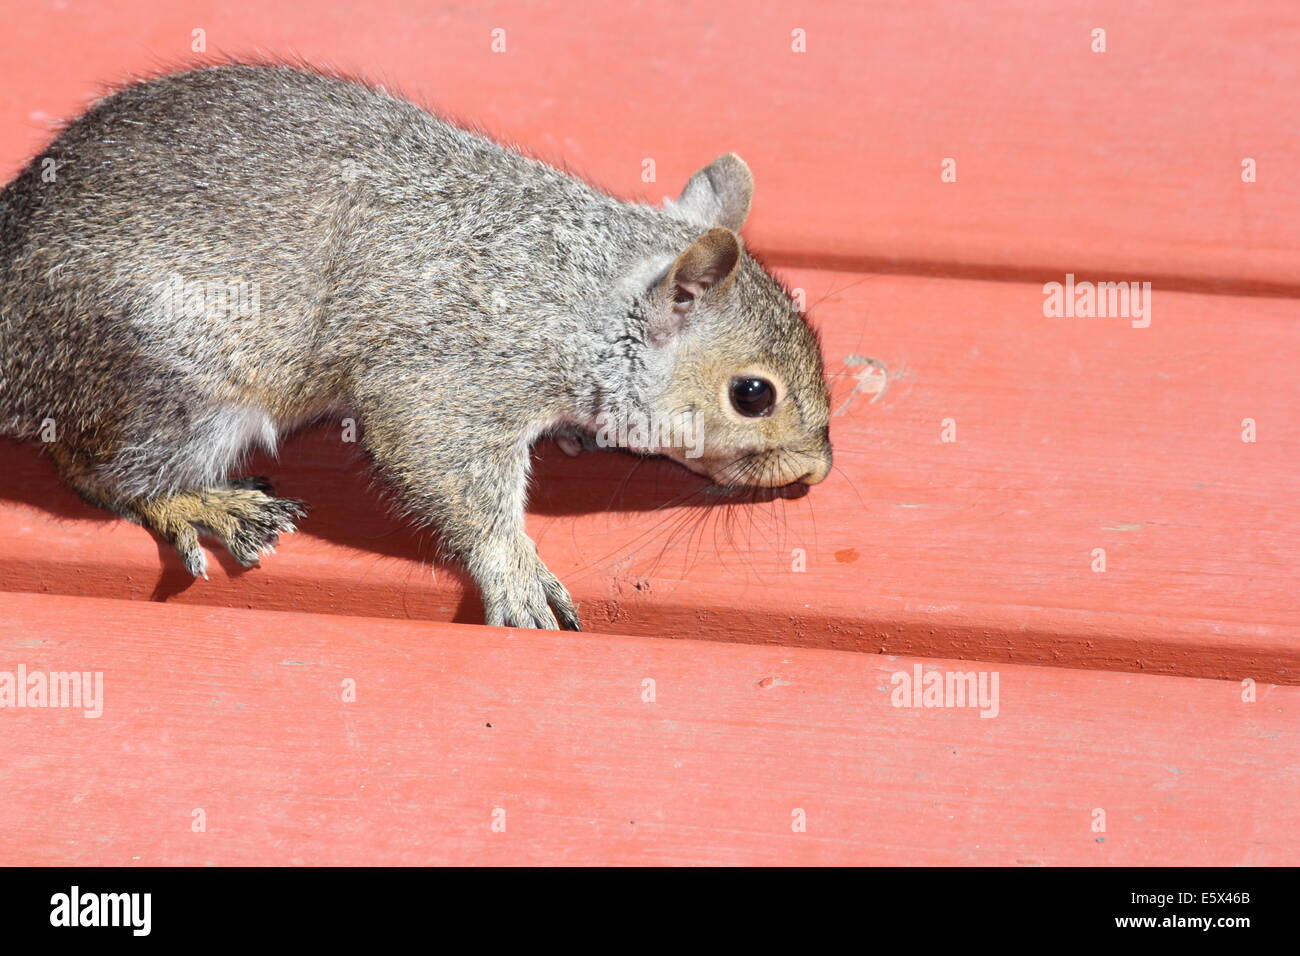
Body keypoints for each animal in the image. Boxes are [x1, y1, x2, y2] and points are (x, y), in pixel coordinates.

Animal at [0, 63, 833, 630]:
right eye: (752, 395)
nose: (818, 469)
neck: (583, 292)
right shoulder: (454, 370)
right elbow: (441, 457)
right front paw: (513, 568)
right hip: (180, 382)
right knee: (102, 471)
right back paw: (198, 502)